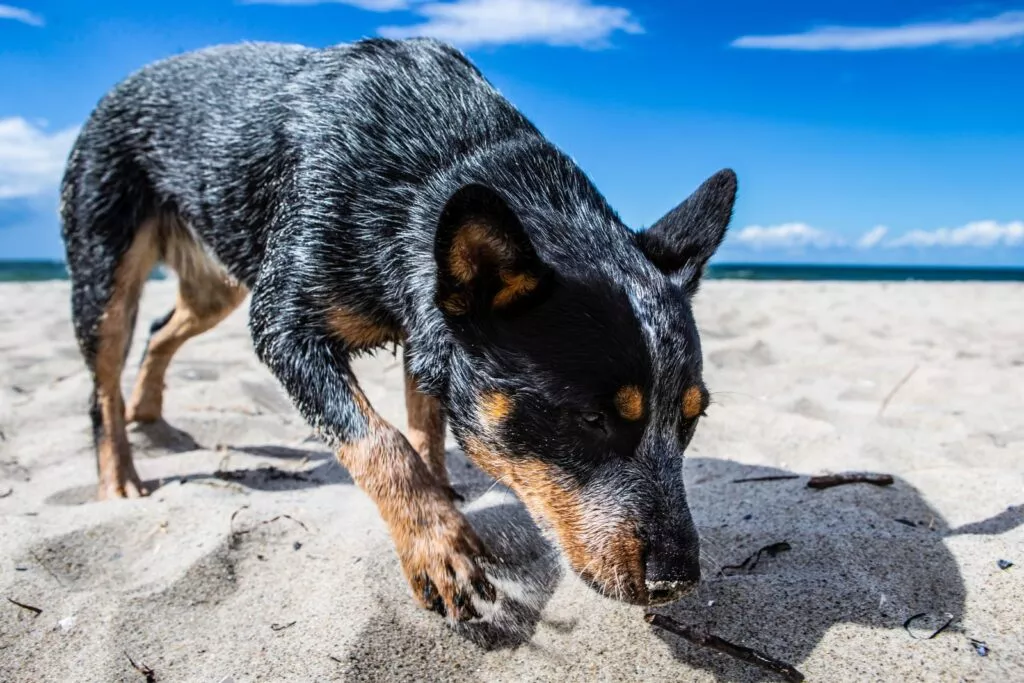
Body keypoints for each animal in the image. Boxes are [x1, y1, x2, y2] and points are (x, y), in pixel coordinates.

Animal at [59, 38, 737, 626]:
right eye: (590, 419)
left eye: (691, 419)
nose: (676, 579)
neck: (432, 166)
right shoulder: (283, 324)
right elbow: (383, 443)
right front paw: (437, 547)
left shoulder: (423, 322)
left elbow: (424, 427)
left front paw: (443, 502)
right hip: (106, 268)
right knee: (102, 381)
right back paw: (119, 474)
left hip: (216, 282)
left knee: (161, 330)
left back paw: (149, 413)